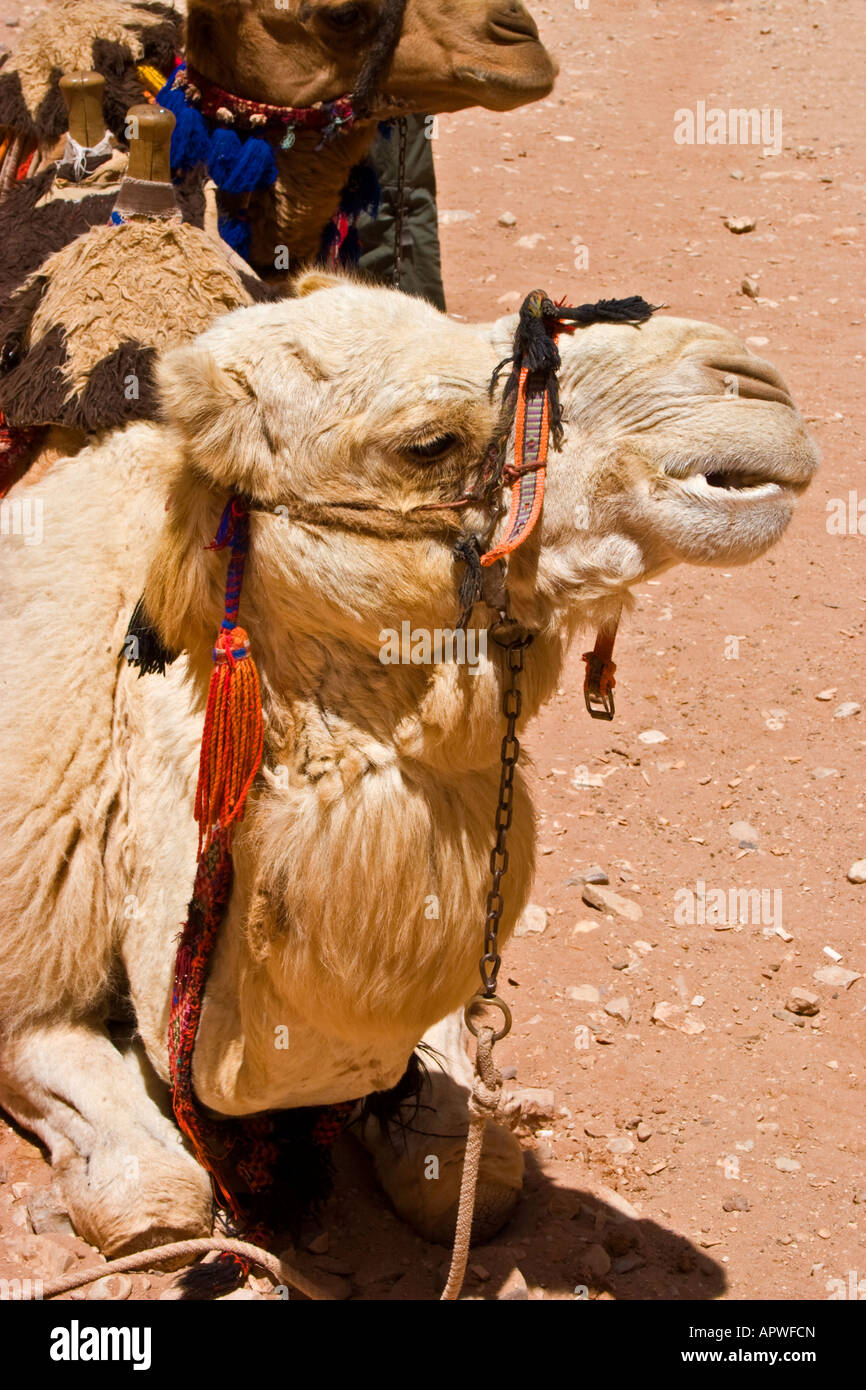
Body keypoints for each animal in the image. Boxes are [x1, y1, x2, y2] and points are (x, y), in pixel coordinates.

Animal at [0, 274, 817, 1263]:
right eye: (427, 443)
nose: (755, 386)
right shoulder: (29, 957)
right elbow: (133, 1168)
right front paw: (147, 1196)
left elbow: (457, 1147)